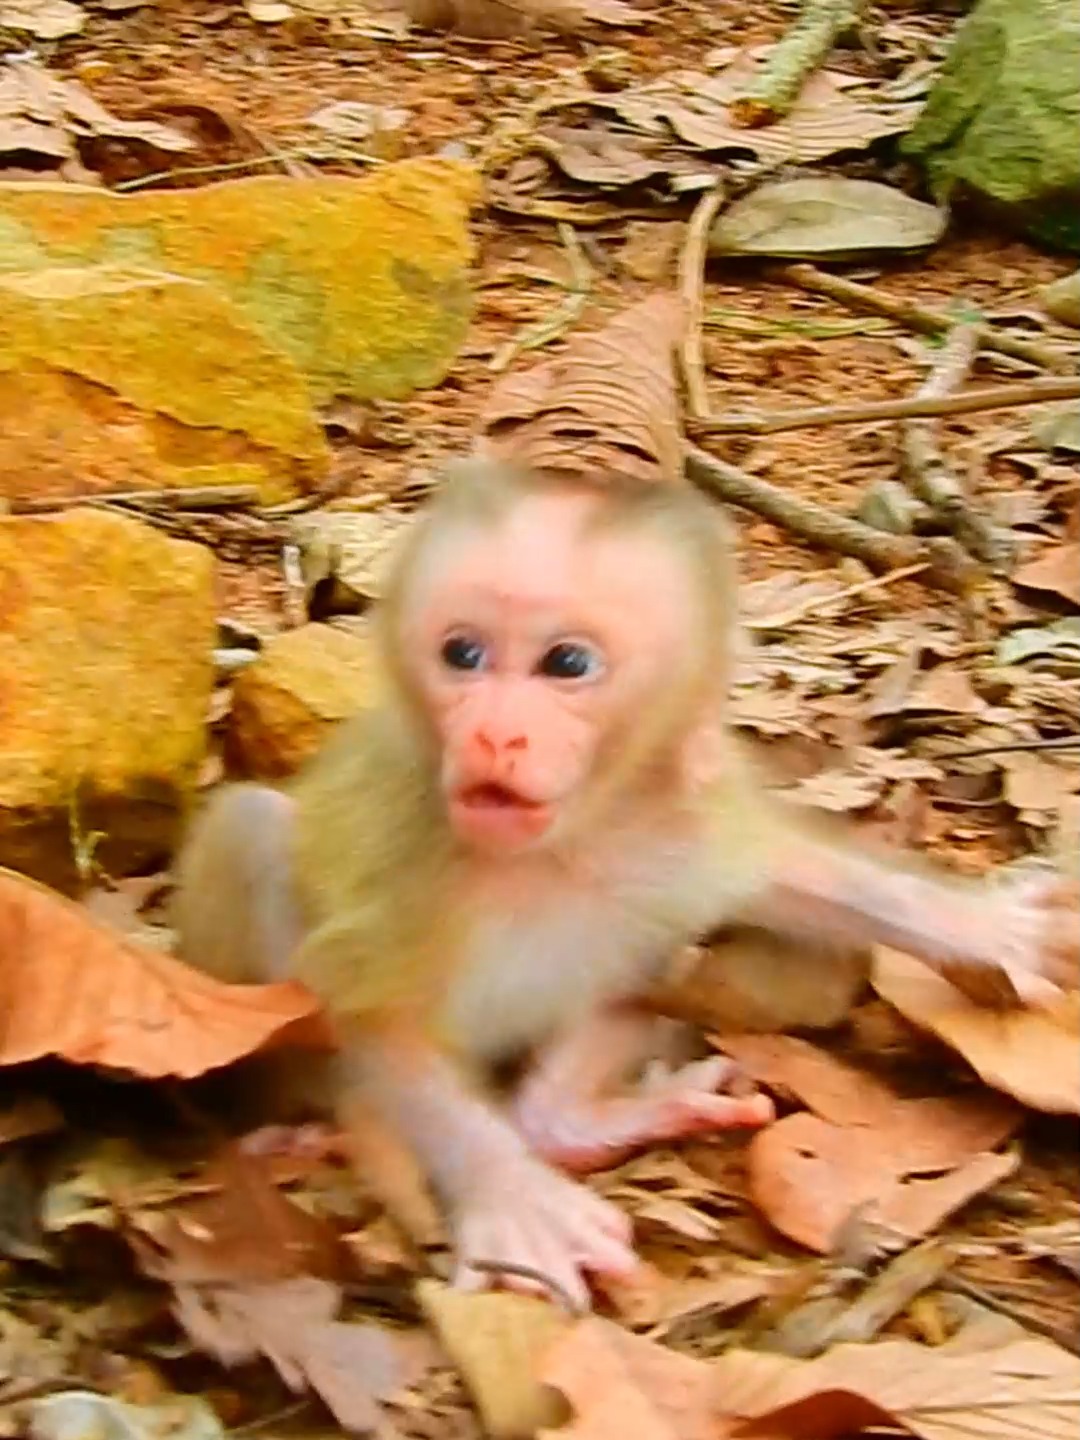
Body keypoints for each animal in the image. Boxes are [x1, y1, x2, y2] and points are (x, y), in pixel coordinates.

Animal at [173, 457, 1079, 1311]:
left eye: (566, 663)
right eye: (462, 654)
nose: (496, 735)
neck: (568, 840)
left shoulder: (670, 816)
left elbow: (781, 878)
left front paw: (987, 930)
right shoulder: (411, 852)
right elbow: (368, 1012)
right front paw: (513, 1194)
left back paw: (567, 1122)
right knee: (256, 831)